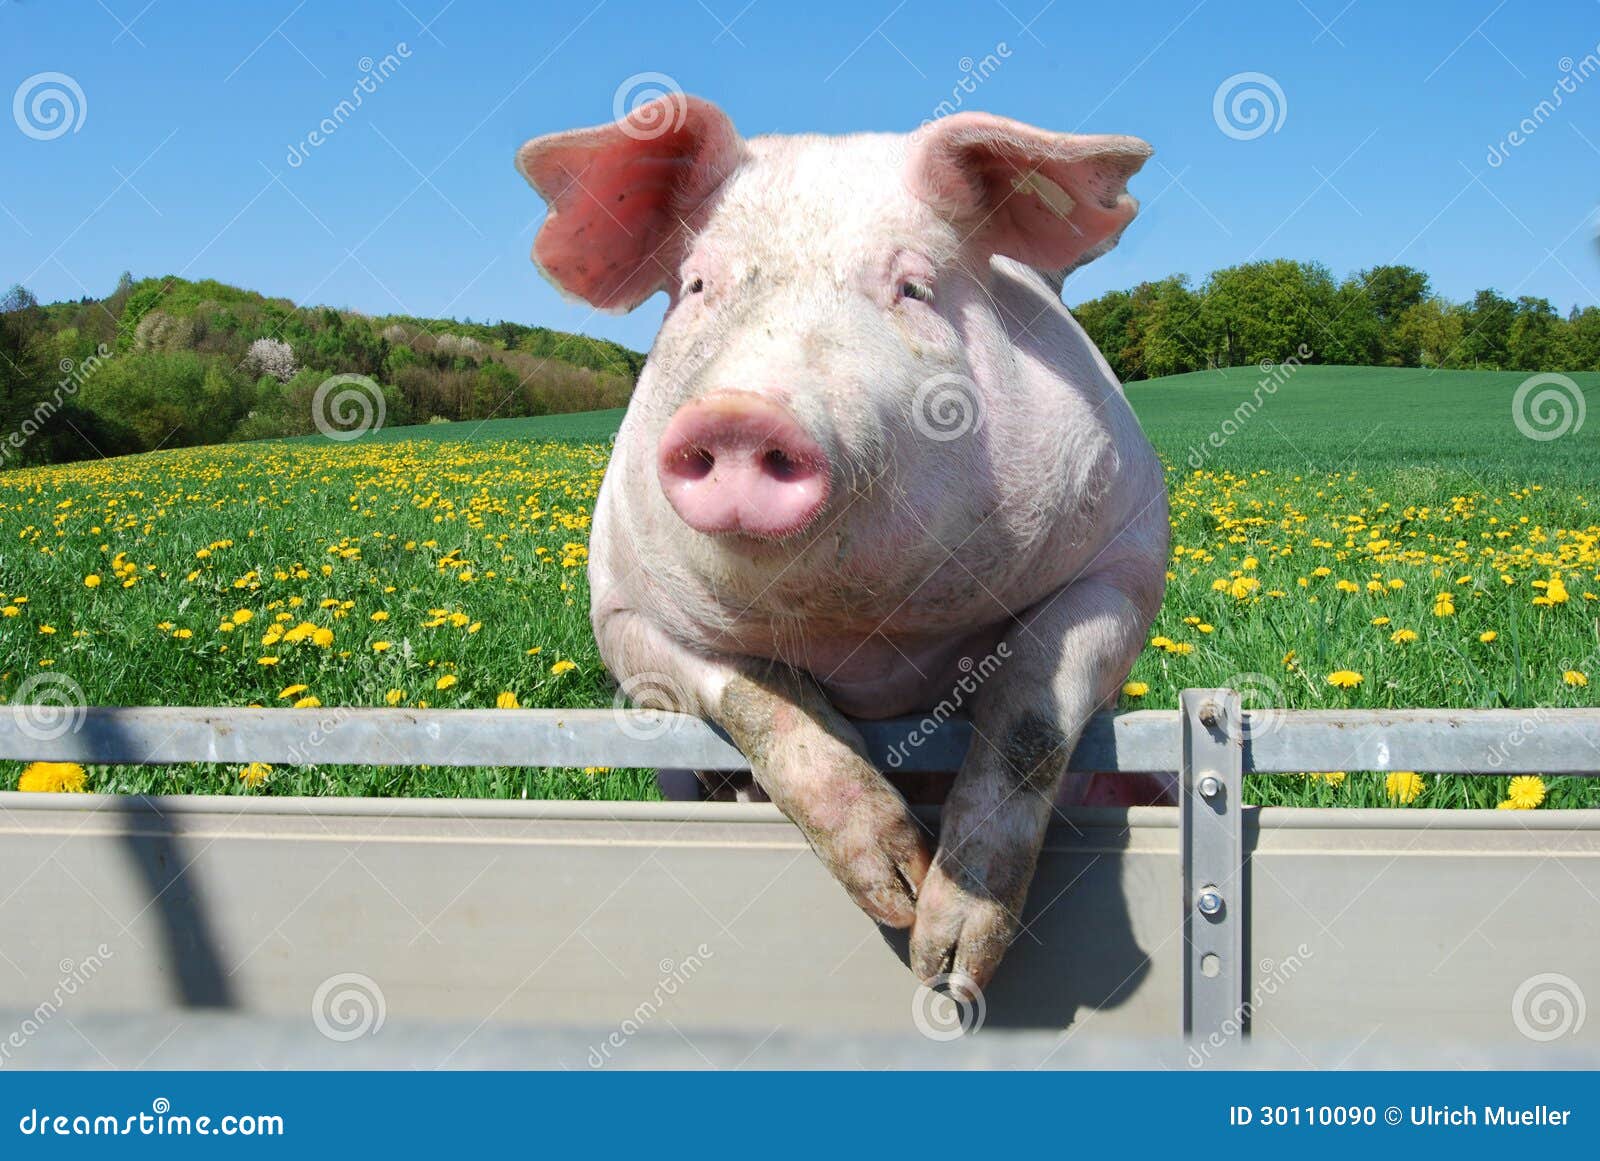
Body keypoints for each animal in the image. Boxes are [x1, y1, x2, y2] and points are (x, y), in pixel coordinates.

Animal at [515, 95, 1169, 997]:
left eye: (913, 287)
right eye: (696, 286)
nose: (742, 412)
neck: (869, 634)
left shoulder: (1129, 548)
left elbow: (1032, 709)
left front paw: (948, 966)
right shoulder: (622, 607)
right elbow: (760, 699)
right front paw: (897, 893)